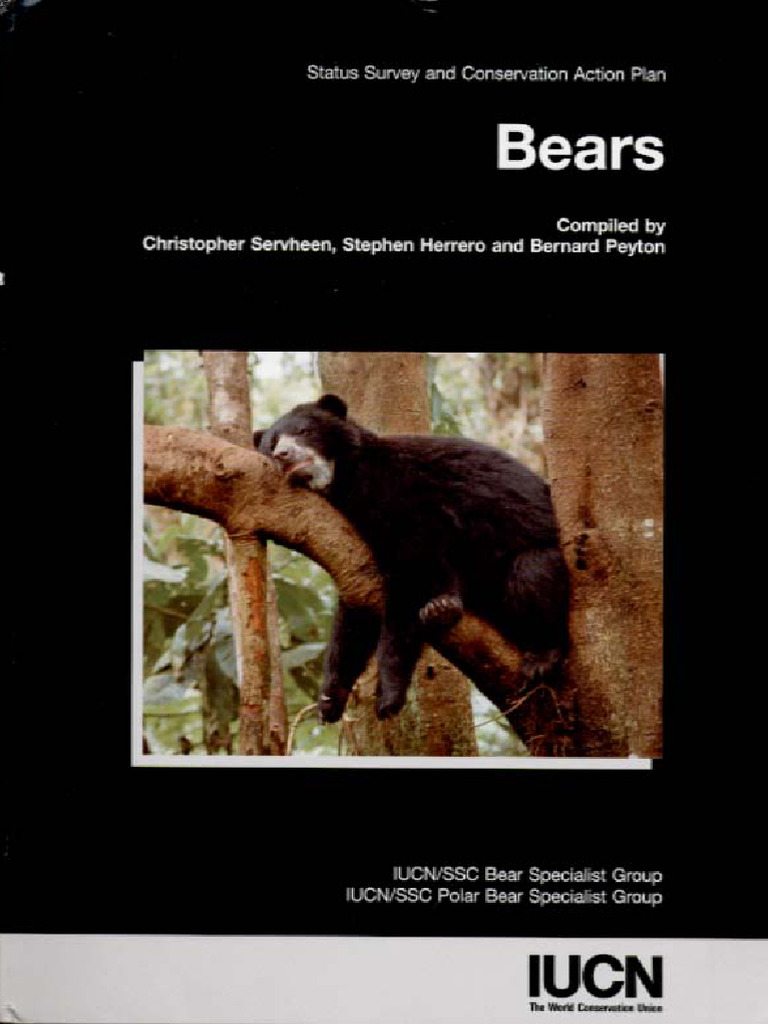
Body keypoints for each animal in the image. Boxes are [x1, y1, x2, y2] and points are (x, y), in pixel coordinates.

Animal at [253, 393, 569, 723]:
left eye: (303, 431)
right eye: (272, 443)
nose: (283, 455)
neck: (347, 479)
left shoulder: (400, 497)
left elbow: (412, 570)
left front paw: (389, 697)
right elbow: (356, 605)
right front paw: (329, 699)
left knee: (532, 570)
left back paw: (541, 654)